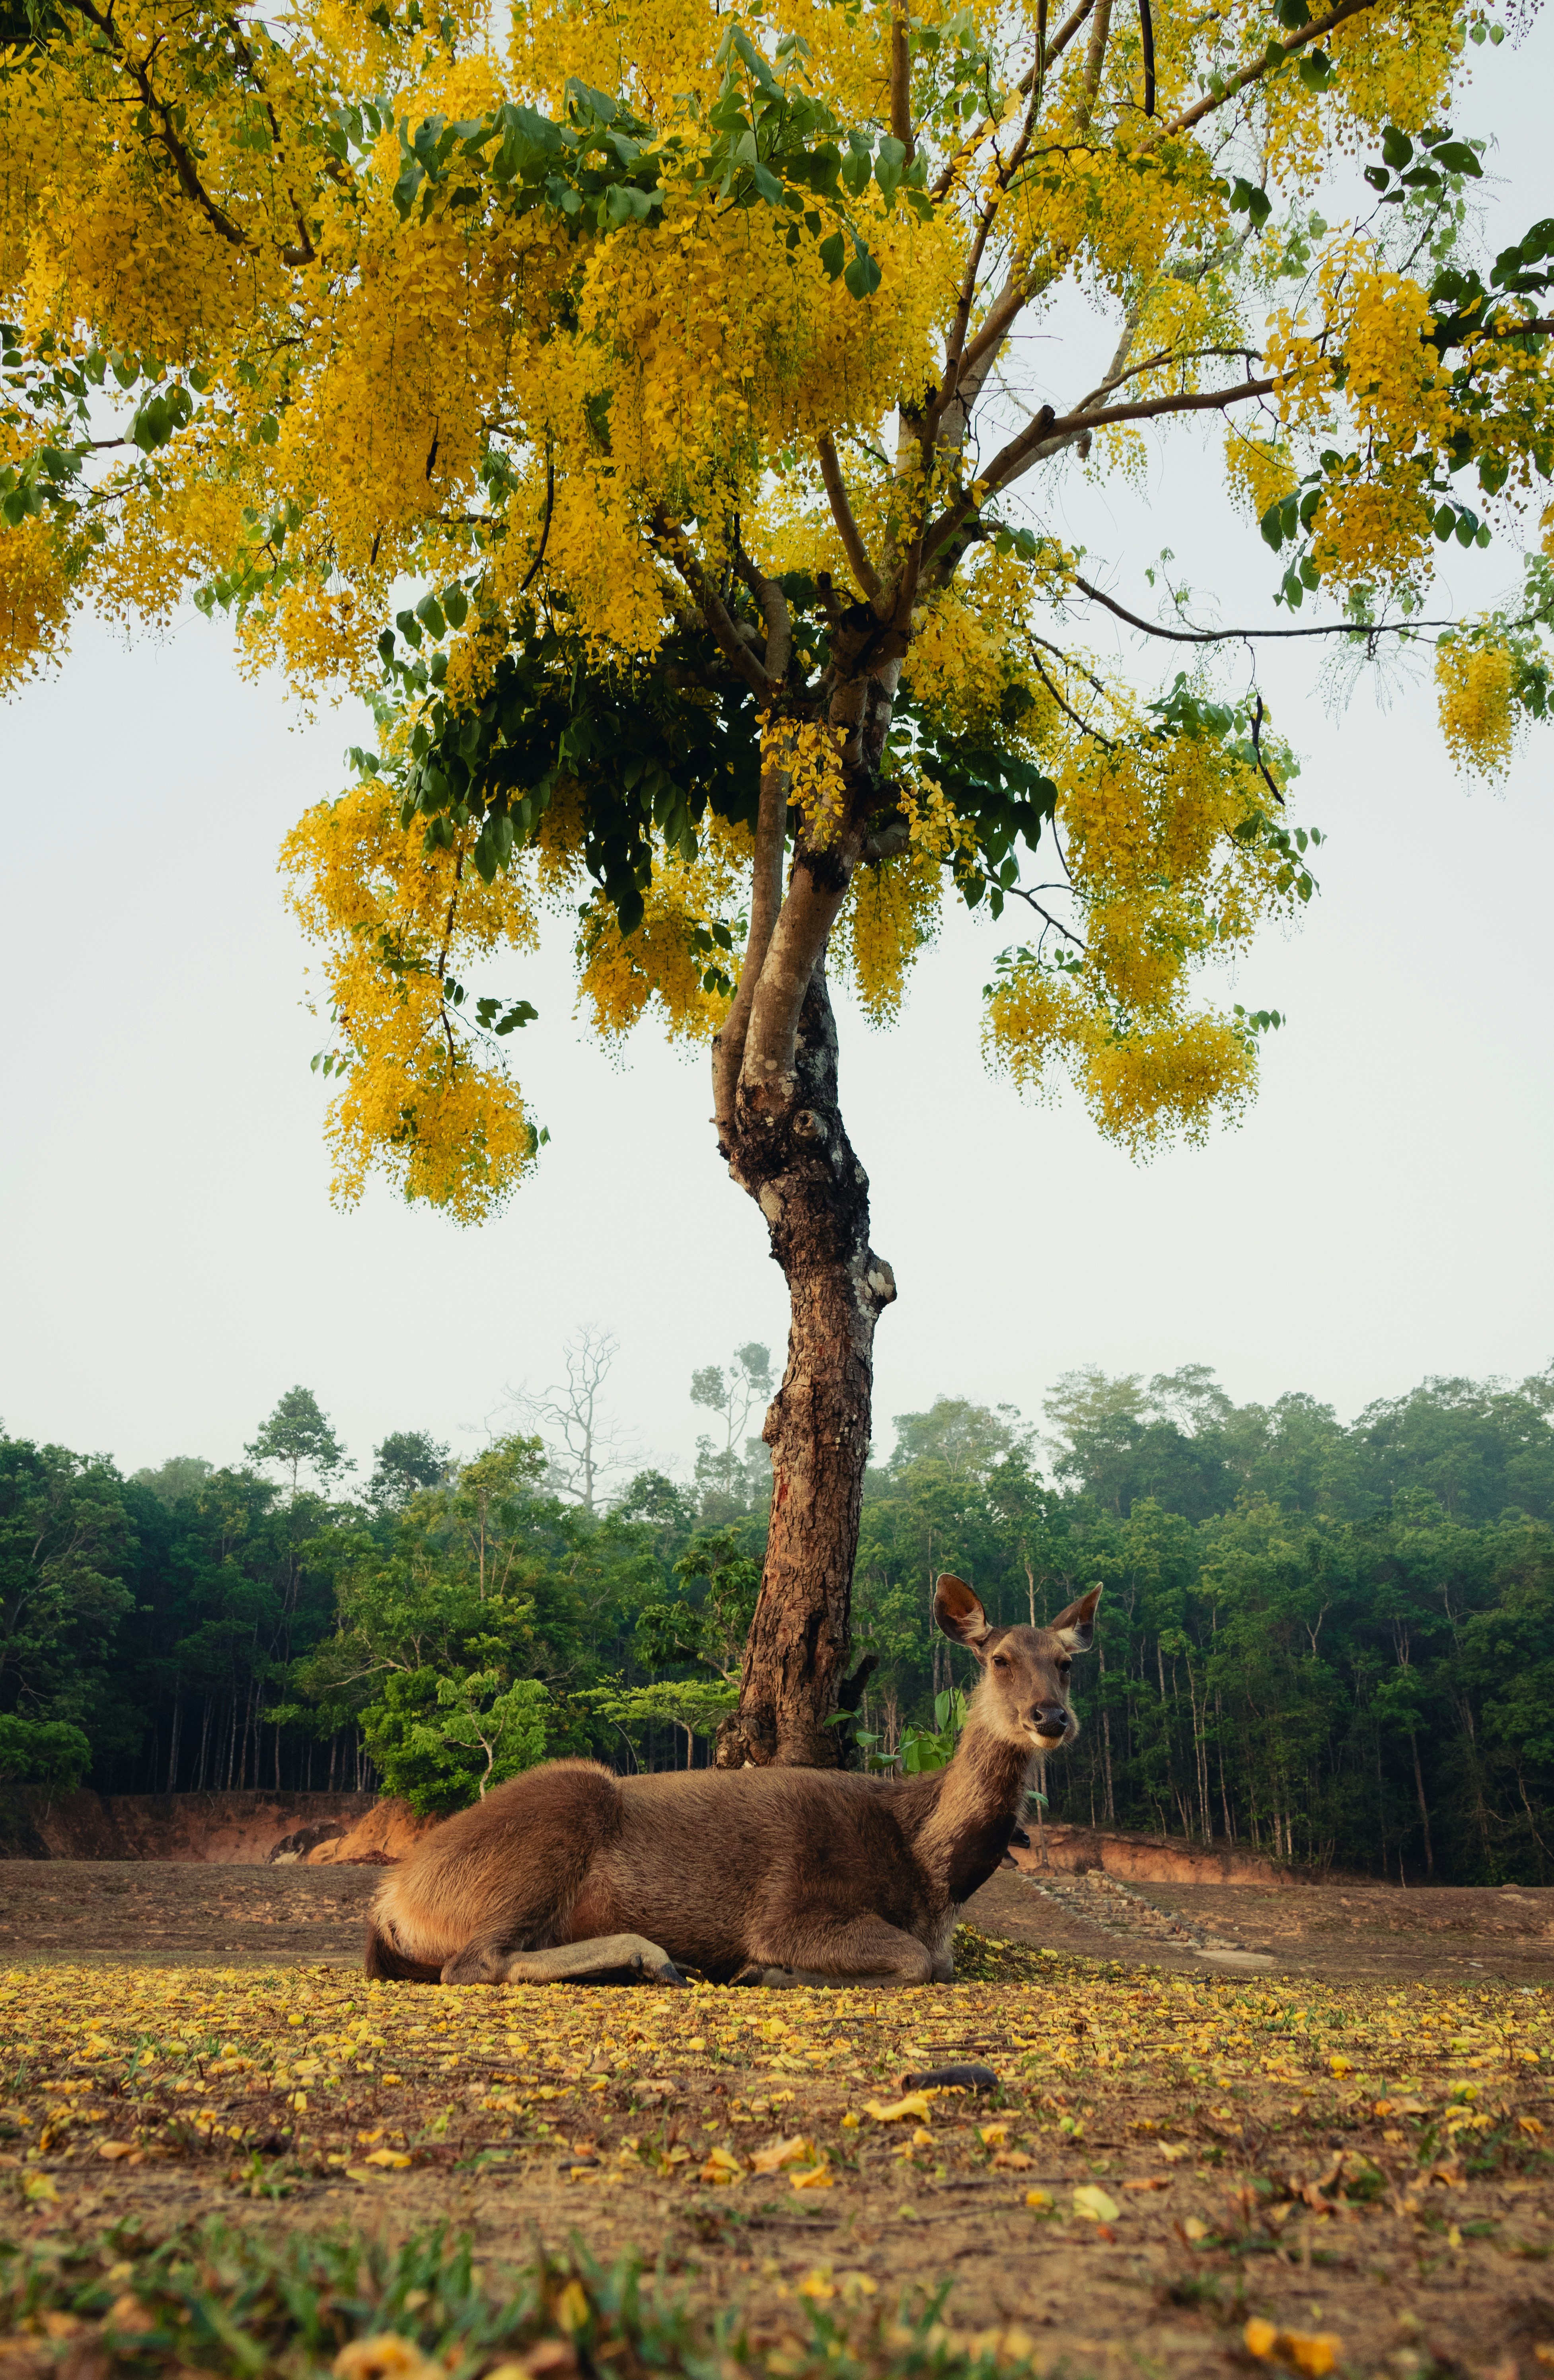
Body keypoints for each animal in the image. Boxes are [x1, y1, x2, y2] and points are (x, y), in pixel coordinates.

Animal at [365, 1574, 1102, 1988]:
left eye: (1066, 1662)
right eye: (999, 1658)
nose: (1051, 1716)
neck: (929, 1873)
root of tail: (393, 1898)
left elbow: (940, 1961)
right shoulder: (792, 1906)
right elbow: (921, 1962)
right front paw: (766, 1969)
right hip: (555, 1818)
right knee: (475, 1961)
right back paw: (654, 1957)